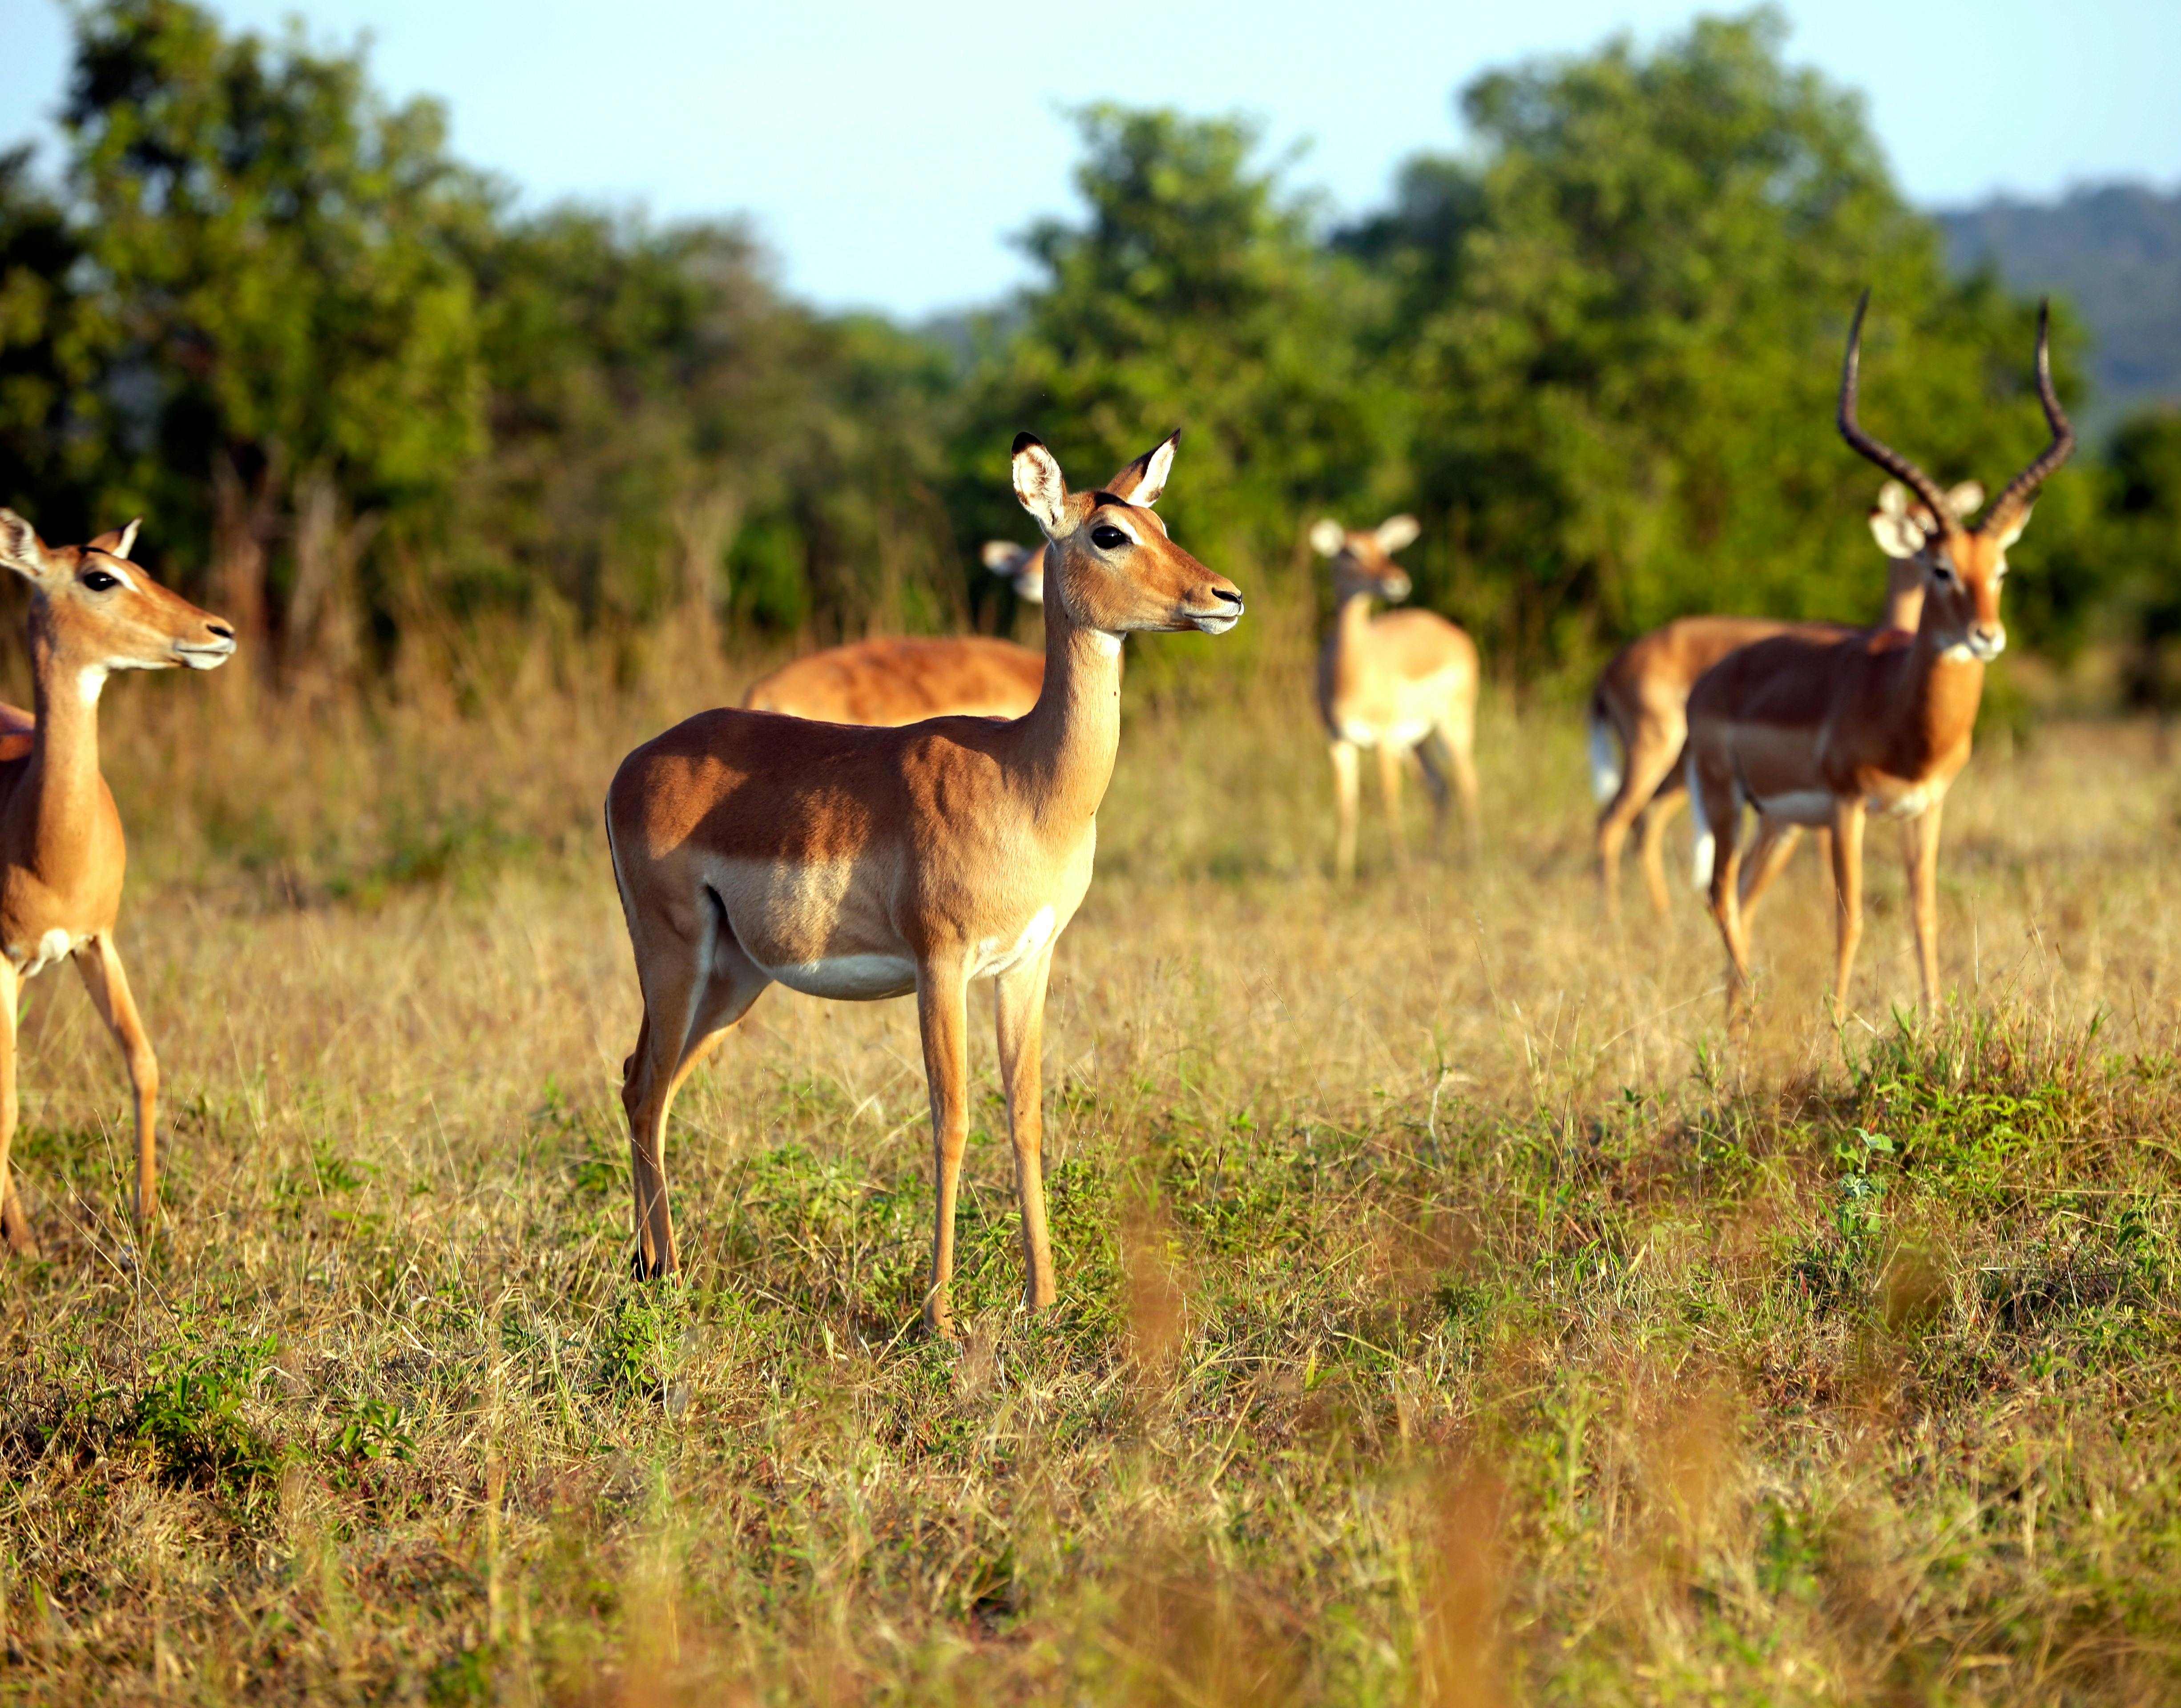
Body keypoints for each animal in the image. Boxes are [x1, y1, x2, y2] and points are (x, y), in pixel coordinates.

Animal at [0, 511, 237, 1254]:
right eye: (100, 577)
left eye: (142, 568)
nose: (219, 631)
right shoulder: (3, 960)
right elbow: (6, 1101)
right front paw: (24, 1247)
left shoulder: (94, 940)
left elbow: (143, 1063)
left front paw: (149, 1220)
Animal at [1311, 515, 1480, 880]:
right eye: (1351, 551)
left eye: (1386, 548)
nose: (1396, 581)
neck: (1350, 675)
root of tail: (1453, 633)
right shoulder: (1337, 740)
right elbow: (1345, 805)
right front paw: (1343, 876)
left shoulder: (1385, 739)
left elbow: (1390, 801)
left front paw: (1400, 870)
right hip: (1417, 742)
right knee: (1440, 788)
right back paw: (1432, 860)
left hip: (1451, 725)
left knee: (1467, 782)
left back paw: (1474, 861)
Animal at [1589, 478, 1983, 920]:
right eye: (1918, 524)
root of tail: (1611, 668)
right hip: (1657, 753)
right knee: (1612, 822)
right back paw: (1615, 915)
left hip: (1678, 773)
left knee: (1645, 822)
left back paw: (1660, 914)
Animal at [1686, 295, 2071, 1021]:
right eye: (1939, 568)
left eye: (2000, 570)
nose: (1986, 636)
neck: (1900, 710)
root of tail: (1709, 681)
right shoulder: (1848, 808)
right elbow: (1850, 918)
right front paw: (1836, 1028)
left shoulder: (1926, 809)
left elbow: (1923, 917)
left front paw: (1934, 1020)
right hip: (1729, 801)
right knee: (1719, 896)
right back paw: (1749, 1014)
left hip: (1779, 823)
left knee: (1743, 899)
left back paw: (1735, 1026)